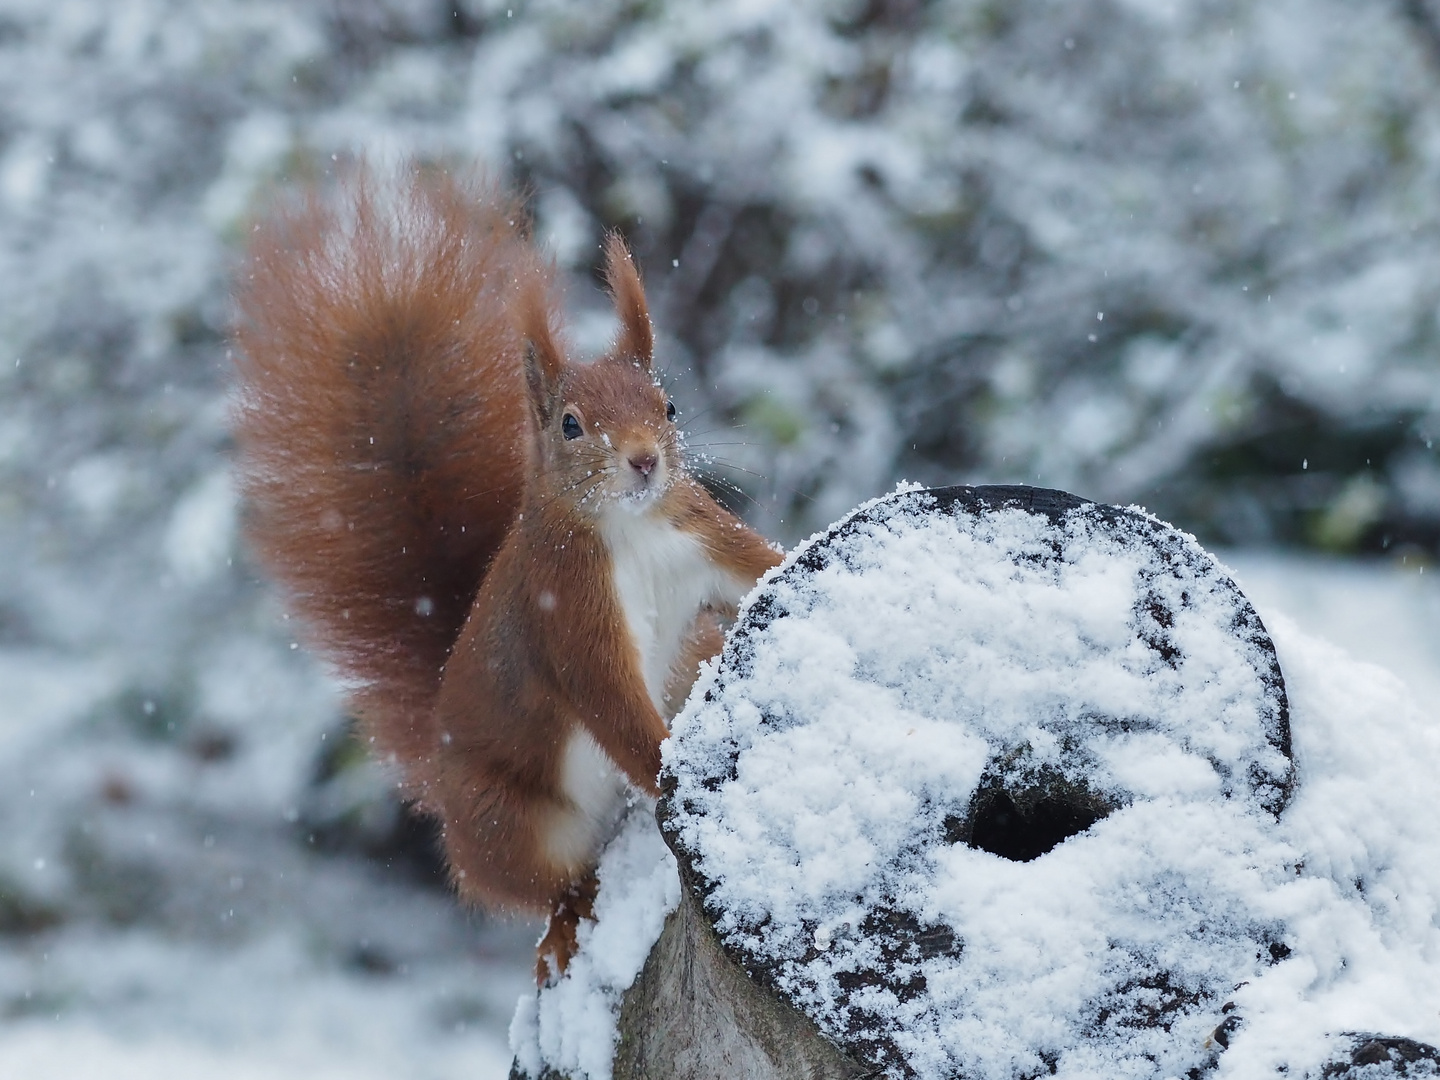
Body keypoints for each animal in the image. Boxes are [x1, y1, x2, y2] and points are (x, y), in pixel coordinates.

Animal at [231, 164, 783, 982]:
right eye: (571, 424)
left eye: (669, 406)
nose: (645, 461)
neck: (628, 528)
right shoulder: (566, 606)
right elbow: (608, 697)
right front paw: (668, 779)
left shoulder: (698, 534)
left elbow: (759, 568)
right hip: (509, 824)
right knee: (542, 887)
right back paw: (562, 922)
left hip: (691, 654)